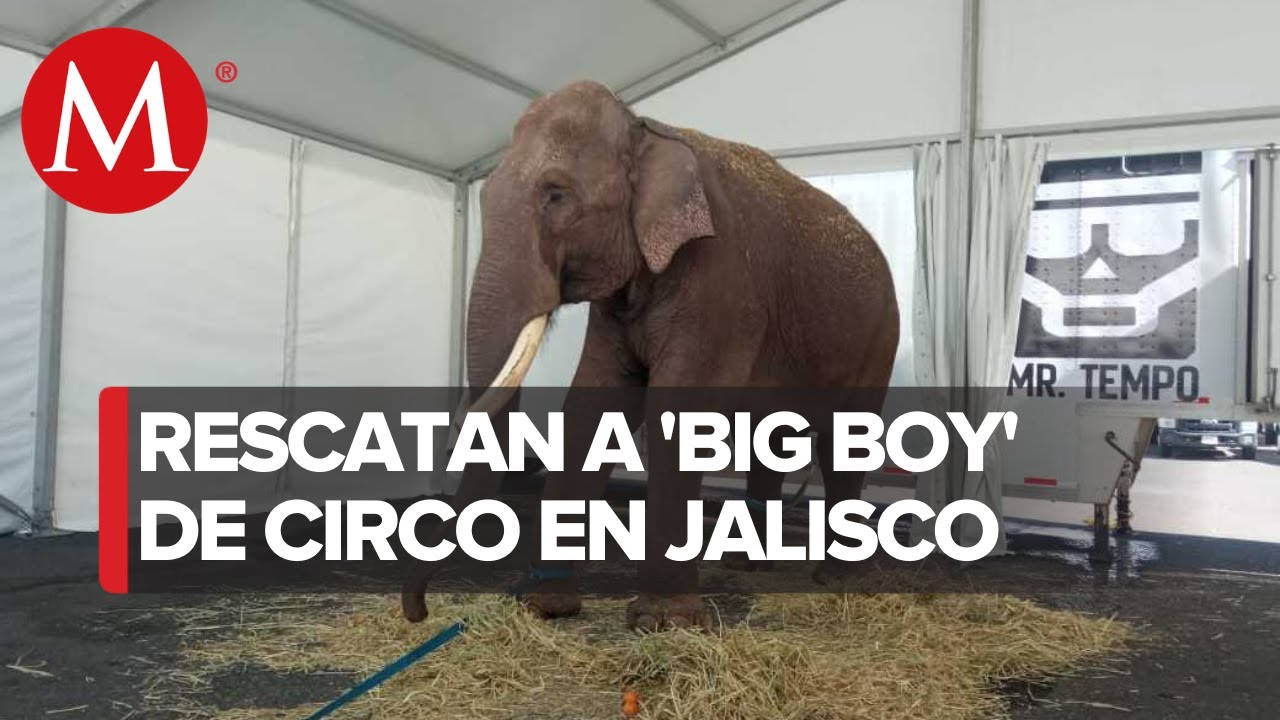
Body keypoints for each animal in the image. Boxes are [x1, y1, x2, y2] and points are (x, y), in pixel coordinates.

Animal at [402, 80, 898, 631]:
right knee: (772, 439)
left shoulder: (722, 280)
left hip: (879, 337)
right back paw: (748, 565)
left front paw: (664, 622)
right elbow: (591, 405)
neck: (648, 129)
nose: (418, 612)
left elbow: (679, 412)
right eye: (483, 197)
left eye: (556, 195)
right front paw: (545, 606)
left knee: (846, 439)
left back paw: (835, 579)